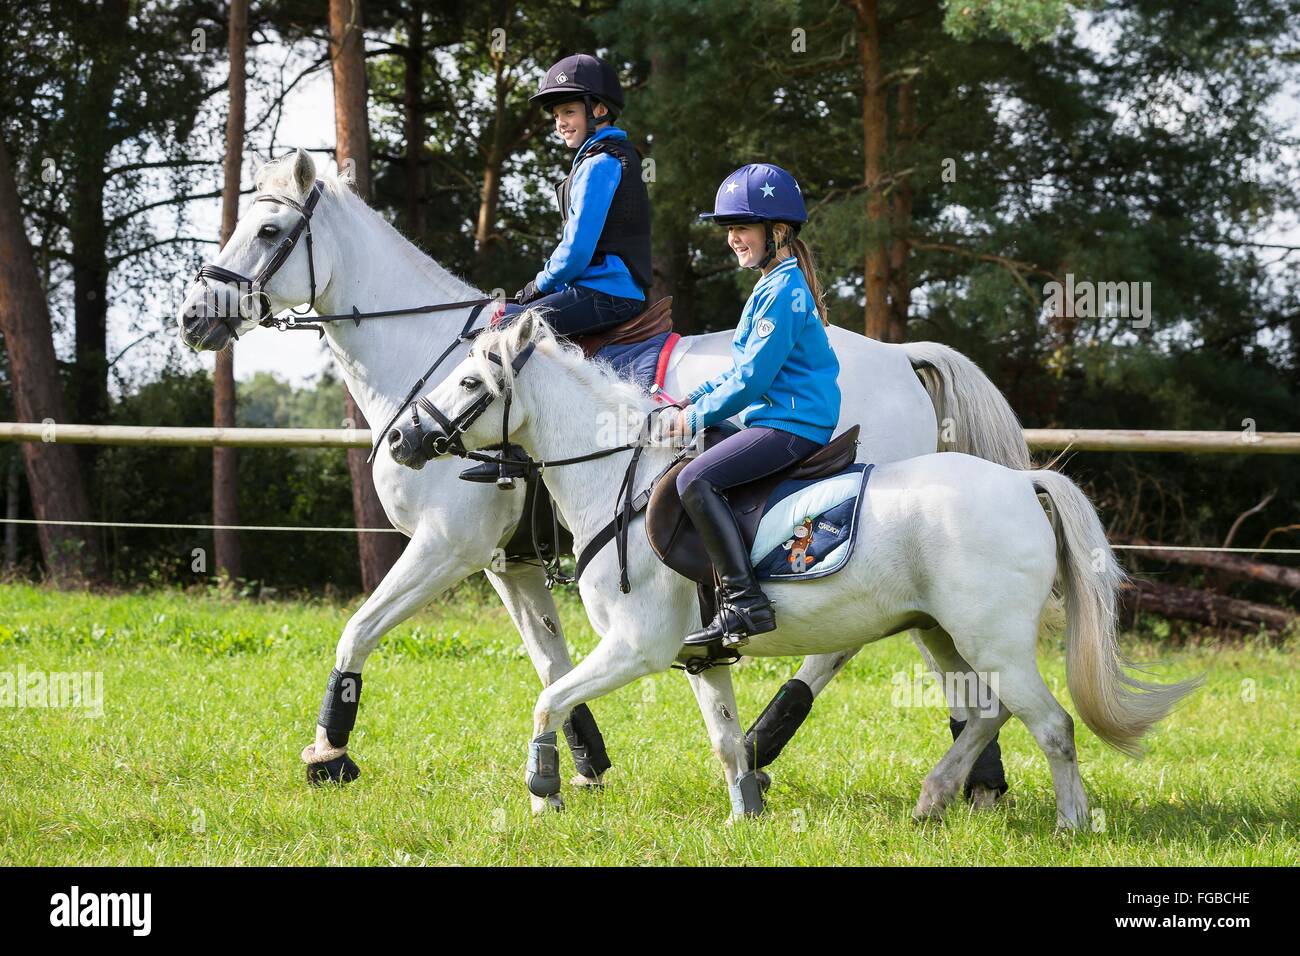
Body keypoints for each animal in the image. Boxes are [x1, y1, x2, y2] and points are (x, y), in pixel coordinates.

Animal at [176, 147, 1031, 795]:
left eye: (269, 227)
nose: (193, 317)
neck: (429, 359)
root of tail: (904, 357)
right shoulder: (506, 563)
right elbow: (552, 660)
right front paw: (583, 761)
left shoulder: (446, 546)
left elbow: (358, 630)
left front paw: (329, 752)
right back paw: (973, 775)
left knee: (851, 644)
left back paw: (775, 744)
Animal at [390, 312, 1203, 826]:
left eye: (472, 383)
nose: (401, 439)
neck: (617, 476)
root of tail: (1021, 483)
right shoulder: (699, 658)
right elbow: (723, 740)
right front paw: (745, 814)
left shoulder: (635, 649)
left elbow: (548, 700)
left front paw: (543, 791)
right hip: (944, 633)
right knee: (987, 713)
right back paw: (934, 798)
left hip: (992, 640)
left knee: (1053, 724)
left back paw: (1070, 824)